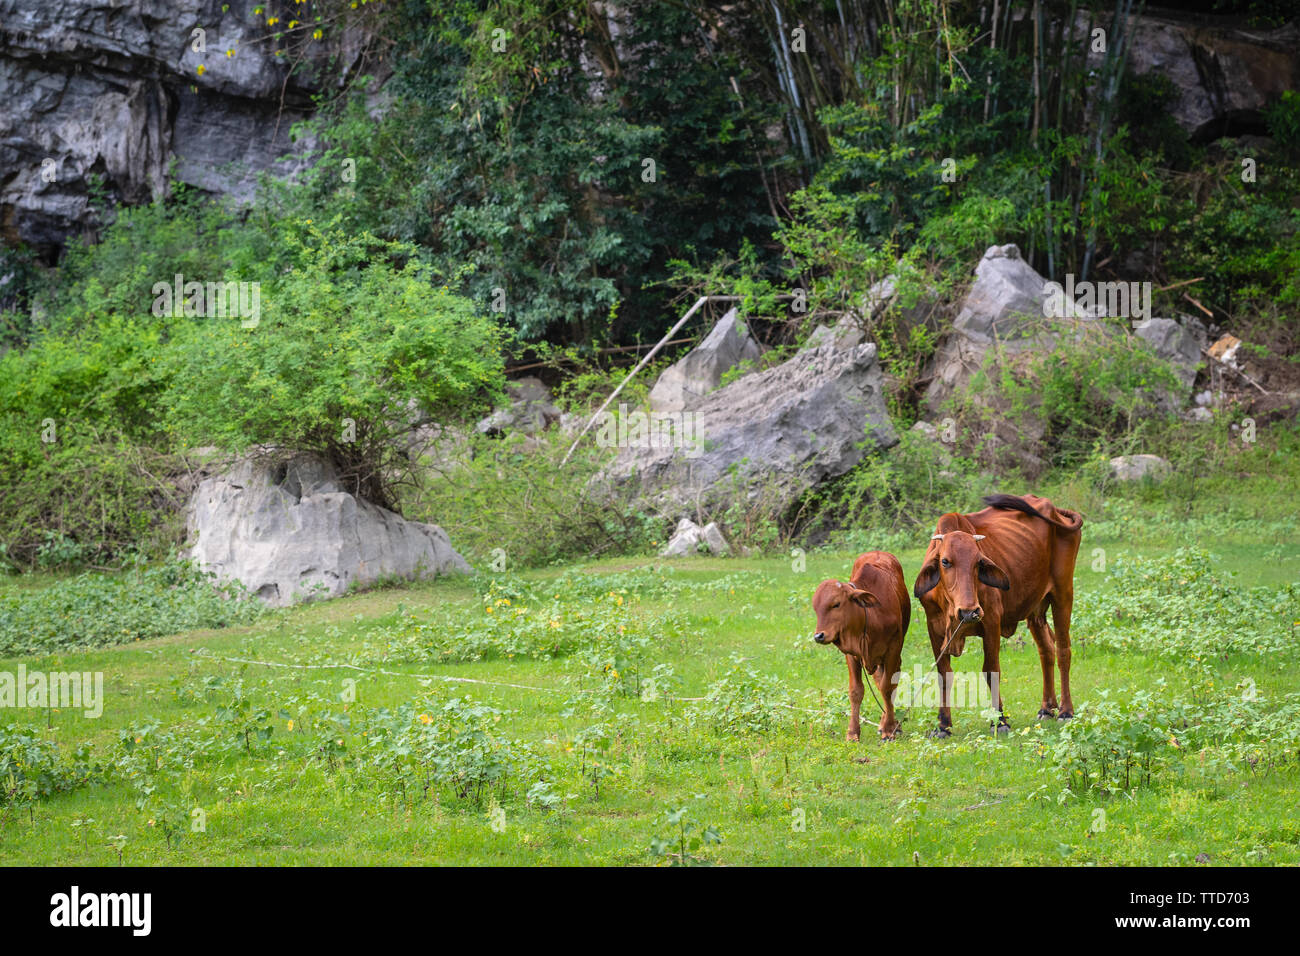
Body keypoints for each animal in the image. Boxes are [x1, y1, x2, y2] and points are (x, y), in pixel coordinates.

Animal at [812, 551, 910, 741]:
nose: (819, 636)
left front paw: (889, 729)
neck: (870, 615)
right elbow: (856, 691)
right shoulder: (852, 655)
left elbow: (888, 687)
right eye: (816, 608)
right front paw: (852, 732)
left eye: (836, 604)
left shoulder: (893, 649)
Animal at [913, 493, 1083, 737]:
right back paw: (1046, 708)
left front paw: (999, 720)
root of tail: (1054, 509)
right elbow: (943, 673)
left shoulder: (991, 620)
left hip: (1063, 594)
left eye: (979, 562)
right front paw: (943, 725)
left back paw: (1065, 711)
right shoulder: (933, 627)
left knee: (1063, 651)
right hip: (1035, 609)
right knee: (1046, 651)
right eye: (945, 561)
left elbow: (991, 670)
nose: (969, 611)